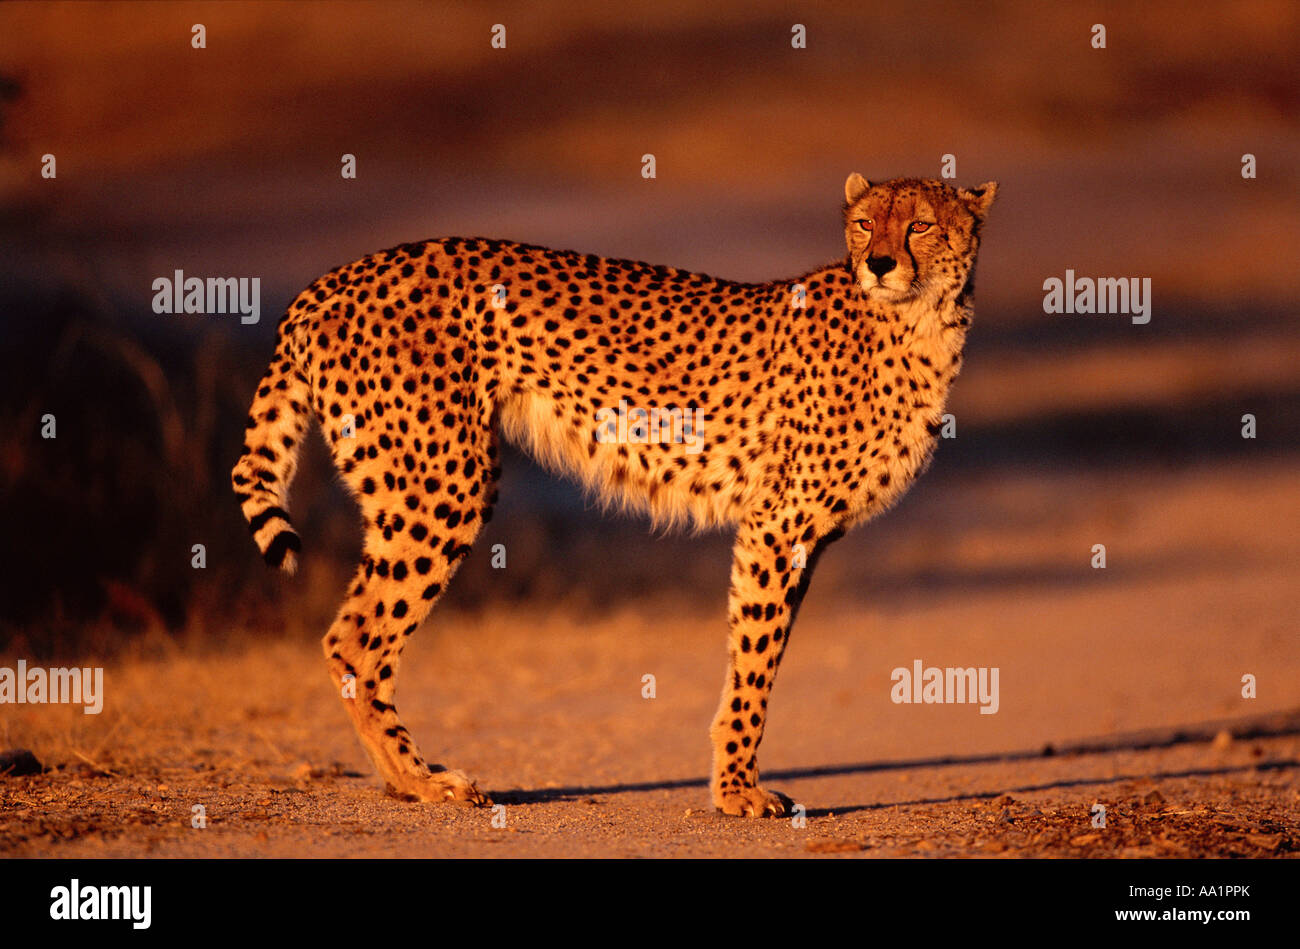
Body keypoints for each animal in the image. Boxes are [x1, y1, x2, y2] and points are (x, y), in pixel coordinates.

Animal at [231, 174, 998, 817]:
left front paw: (732, 781)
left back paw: (402, 779)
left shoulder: (796, 535)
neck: (916, 325)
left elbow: (757, 656)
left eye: (921, 224)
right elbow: (755, 663)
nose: (880, 263)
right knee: (354, 639)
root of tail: (337, 275)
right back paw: (420, 780)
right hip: (444, 484)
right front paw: (736, 791)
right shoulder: (778, 527)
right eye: (867, 223)